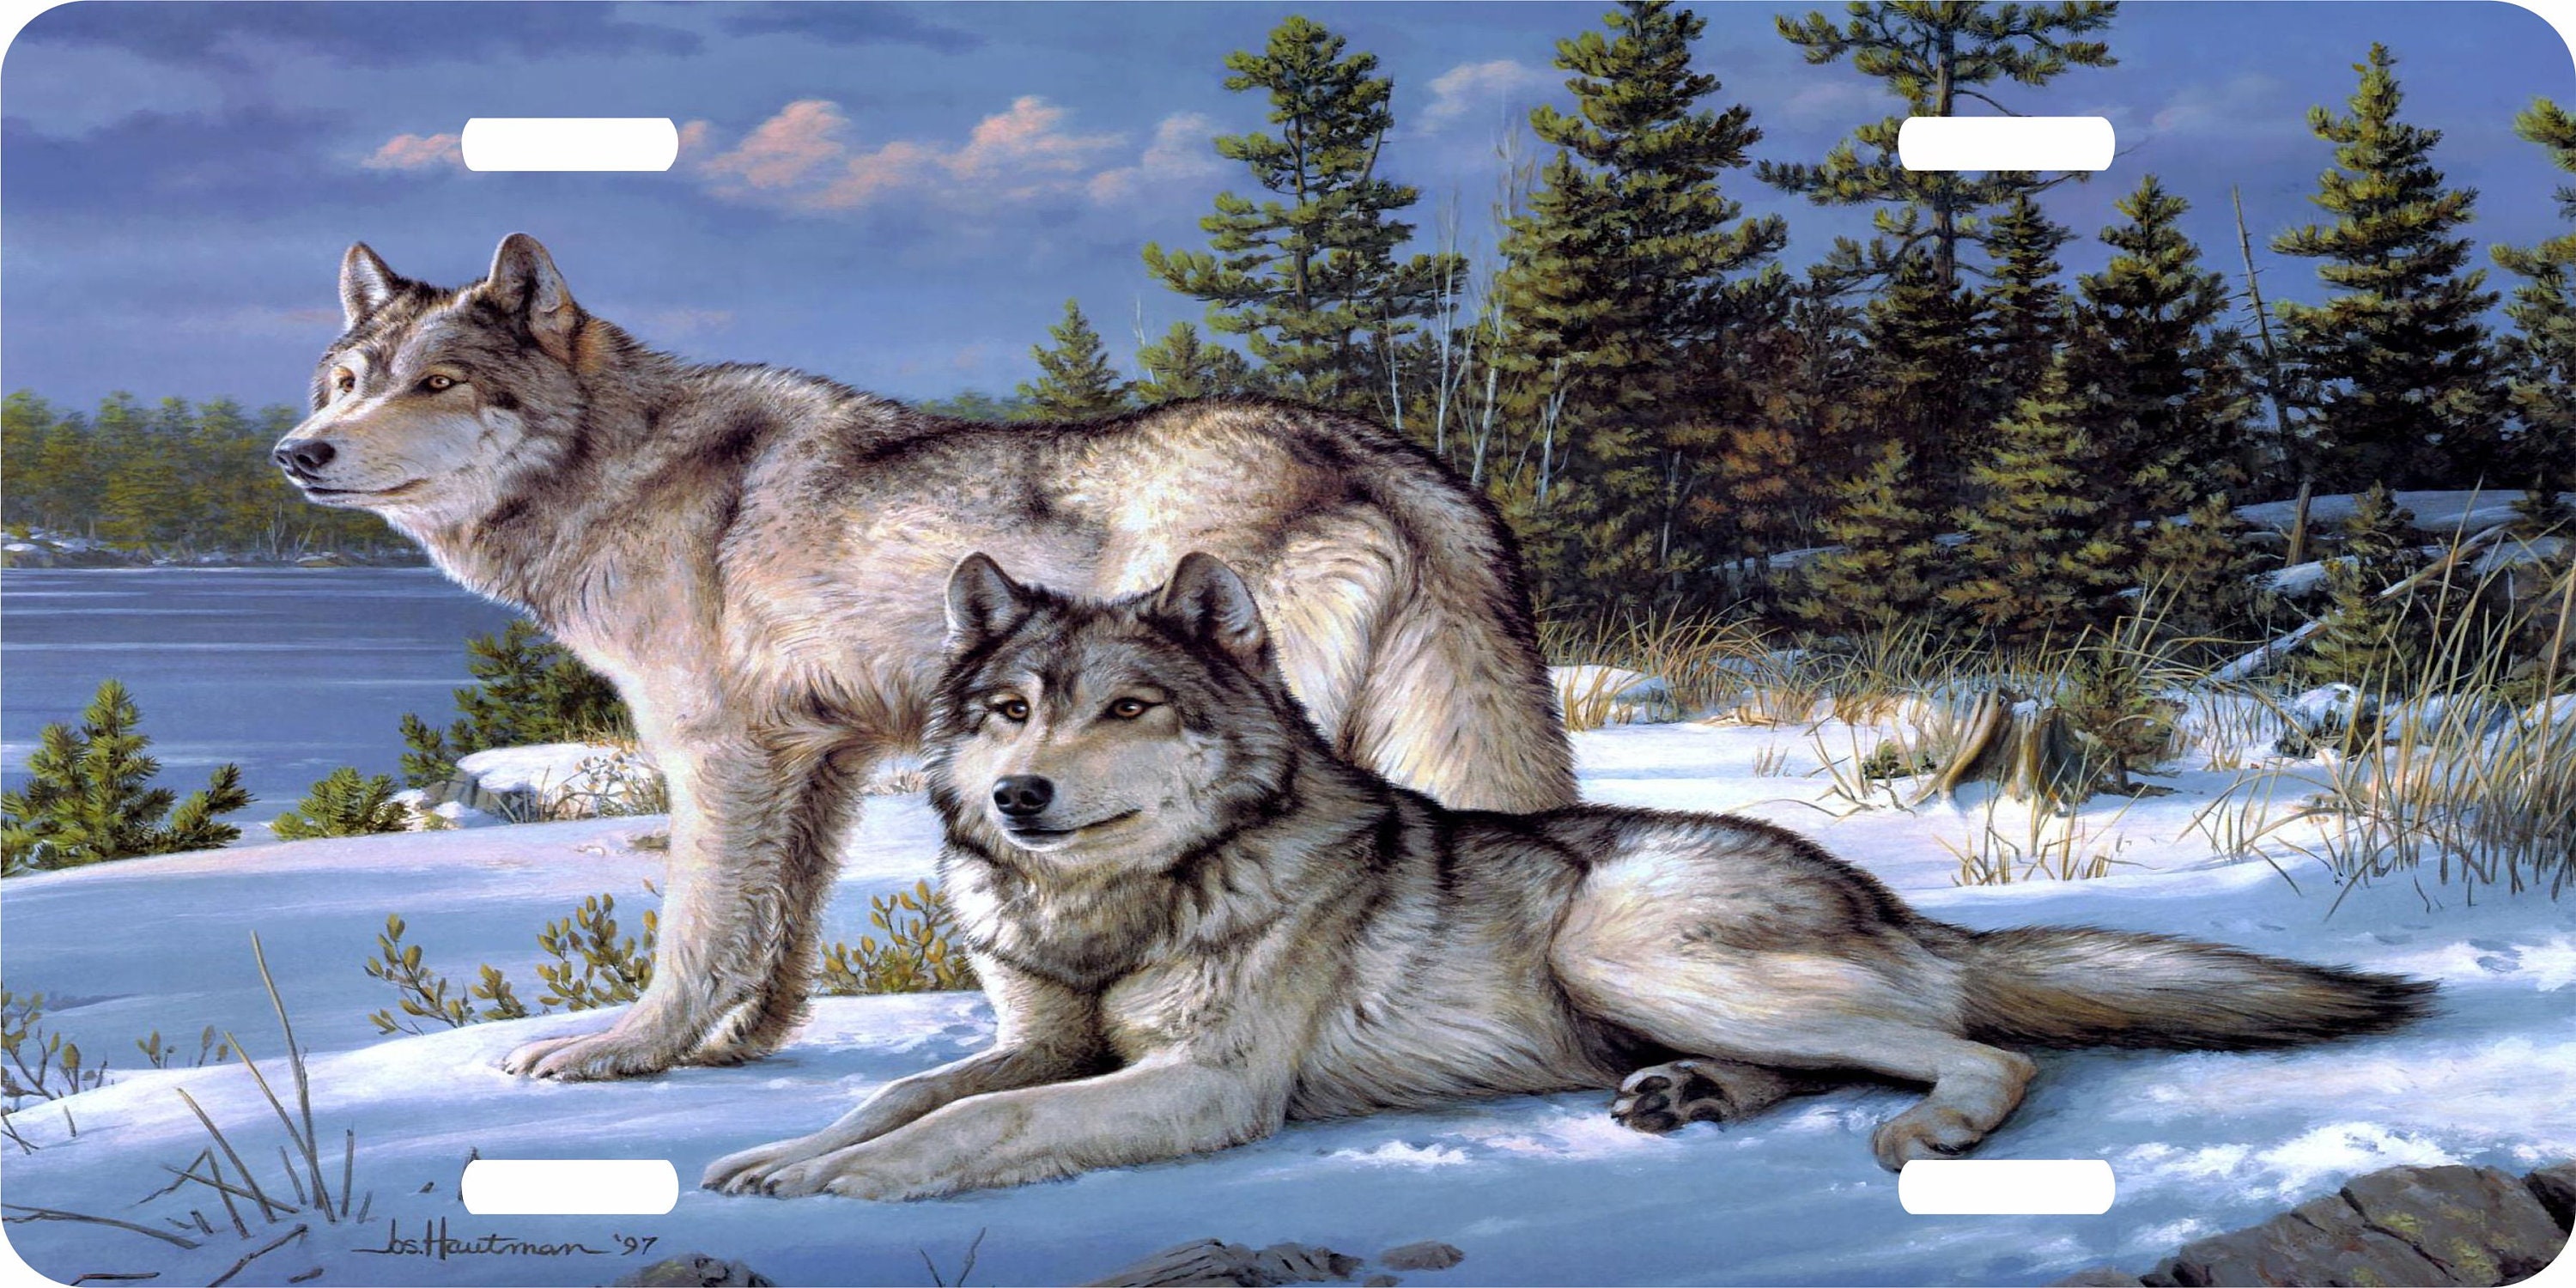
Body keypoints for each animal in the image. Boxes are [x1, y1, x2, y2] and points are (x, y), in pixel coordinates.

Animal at [271, 234, 1575, 1081]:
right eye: (346, 382)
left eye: (438, 383)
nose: (299, 453)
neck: (615, 467)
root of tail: (1386, 455)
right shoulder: (818, 761)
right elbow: (778, 932)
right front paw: (740, 1049)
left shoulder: (716, 758)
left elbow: (695, 934)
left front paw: (625, 1054)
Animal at [696, 552, 2433, 1199]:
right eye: (1007, 711)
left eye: (1127, 709)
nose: (1018, 794)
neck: (1116, 911)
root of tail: (1891, 902)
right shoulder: (1041, 1036)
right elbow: (909, 1091)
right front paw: (777, 1150)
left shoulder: (1203, 1087)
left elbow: (976, 1127)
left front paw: (838, 1184)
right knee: (1841, 1055)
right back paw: (1689, 1099)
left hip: (1622, 947)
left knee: (1979, 1050)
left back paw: (1928, 1128)